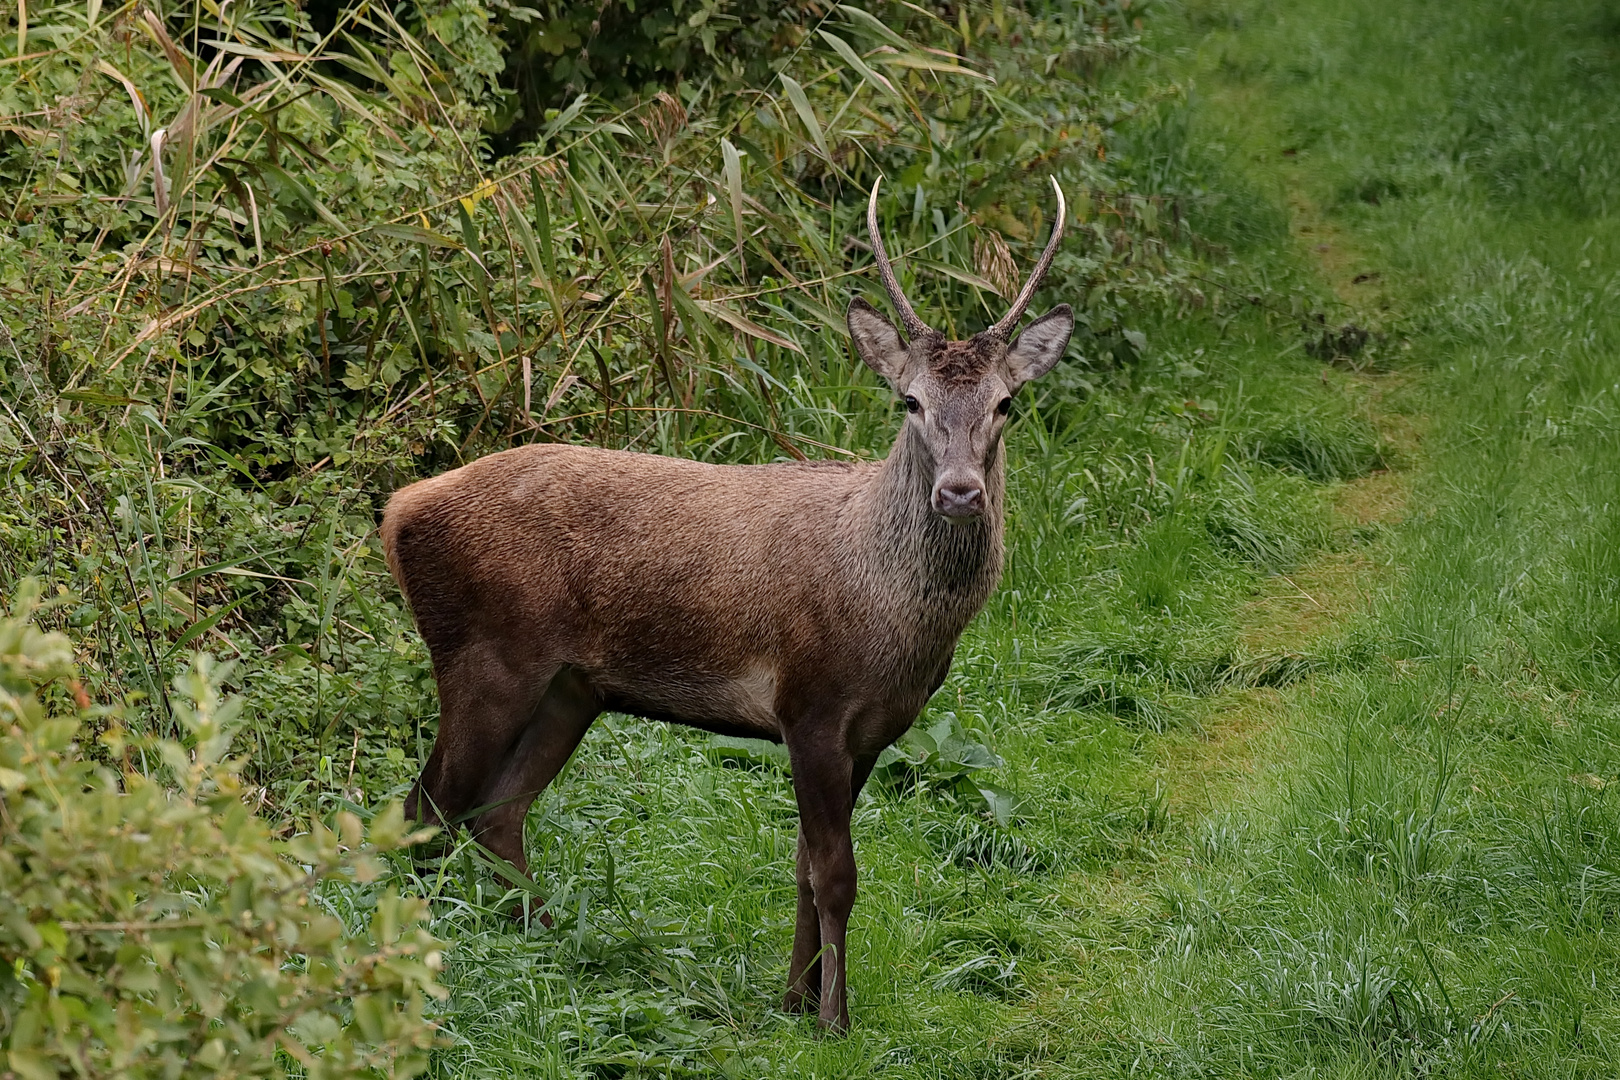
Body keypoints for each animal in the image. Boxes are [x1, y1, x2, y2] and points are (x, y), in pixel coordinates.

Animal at [372, 177, 1069, 1029]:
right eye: (909, 400)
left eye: (1006, 403)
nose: (961, 492)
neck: (892, 617)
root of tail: (399, 511)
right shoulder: (810, 703)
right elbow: (836, 872)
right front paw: (835, 1020)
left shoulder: (872, 731)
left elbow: (803, 863)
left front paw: (794, 1000)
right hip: (485, 657)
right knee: (424, 810)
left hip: (570, 688)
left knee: (497, 814)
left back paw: (551, 940)